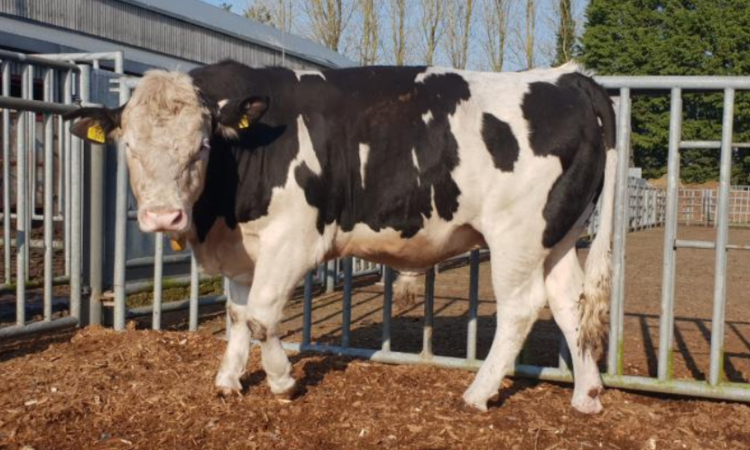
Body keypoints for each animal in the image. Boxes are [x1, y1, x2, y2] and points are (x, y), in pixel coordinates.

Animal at [64, 60, 617, 414]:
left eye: (202, 145)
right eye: (130, 147)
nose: (163, 216)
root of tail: (566, 76)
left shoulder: (295, 239)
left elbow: (262, 317)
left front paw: (283, 380)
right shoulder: (246, 249)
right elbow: (239, 316)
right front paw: (227, 381)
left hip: (516, 234)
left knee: (521, 307)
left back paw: (478, 394)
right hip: (558, 236)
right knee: (569, 302)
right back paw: (586, 395)